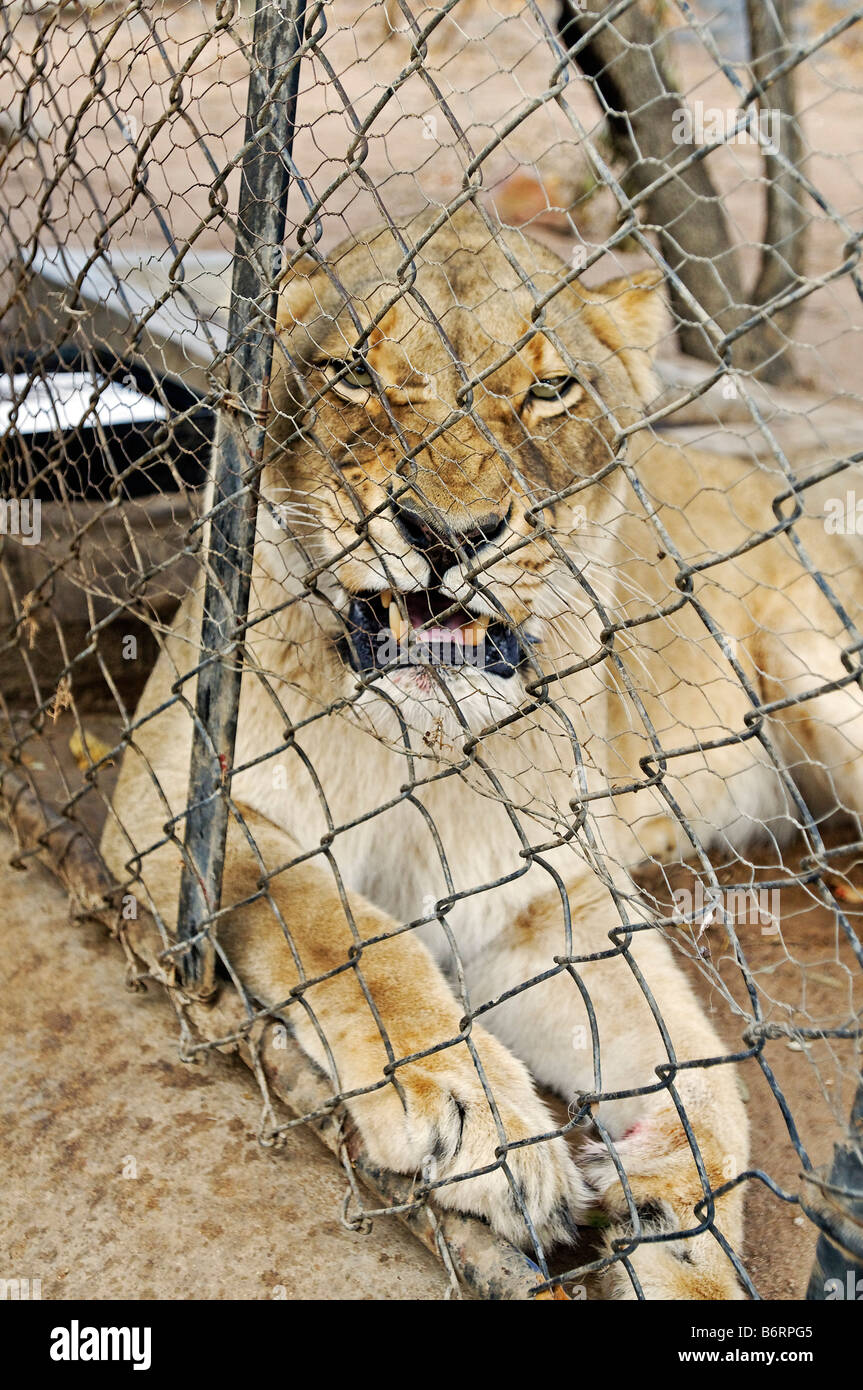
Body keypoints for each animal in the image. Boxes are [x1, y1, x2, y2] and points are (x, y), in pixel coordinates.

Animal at [101, 204, 863, 1299]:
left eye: (548, 388)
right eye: (356, 372)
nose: (447, 534)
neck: (416, 743)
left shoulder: (542, 904)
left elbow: (698, 1062)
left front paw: (680, 1228)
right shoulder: (169, 806)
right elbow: (336, 919)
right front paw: (478, 1113)